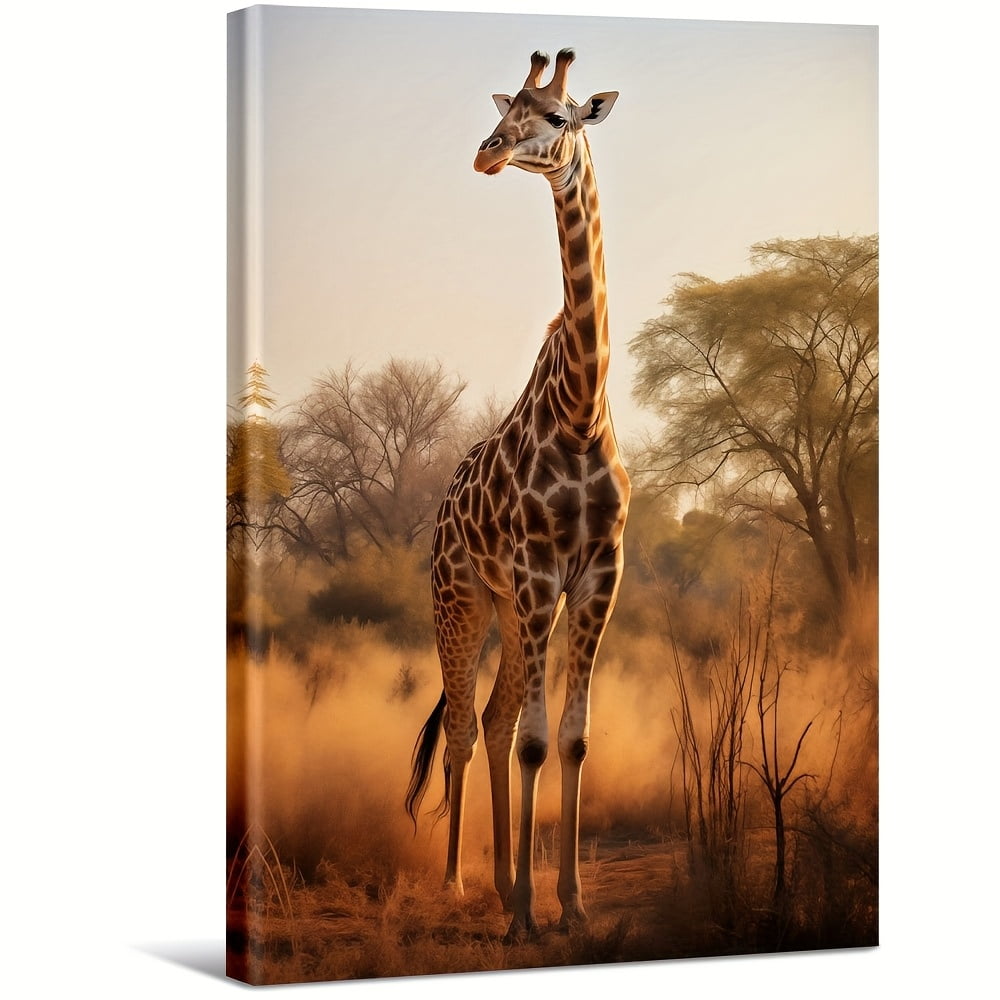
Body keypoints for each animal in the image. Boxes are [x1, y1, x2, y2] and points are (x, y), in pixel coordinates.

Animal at [405, 48, 630, 941]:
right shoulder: (540, 574)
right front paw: (532, 917)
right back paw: (462, 883)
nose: (487, 152)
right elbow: (535, 740)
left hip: (506, 605)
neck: (582, 409)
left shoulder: (597, 575)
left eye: (559, 117)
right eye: (507, 111)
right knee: (469, 729)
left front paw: (569, 906)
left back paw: (504, 883)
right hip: (463, 598)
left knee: (497, 723)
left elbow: (571, 738)